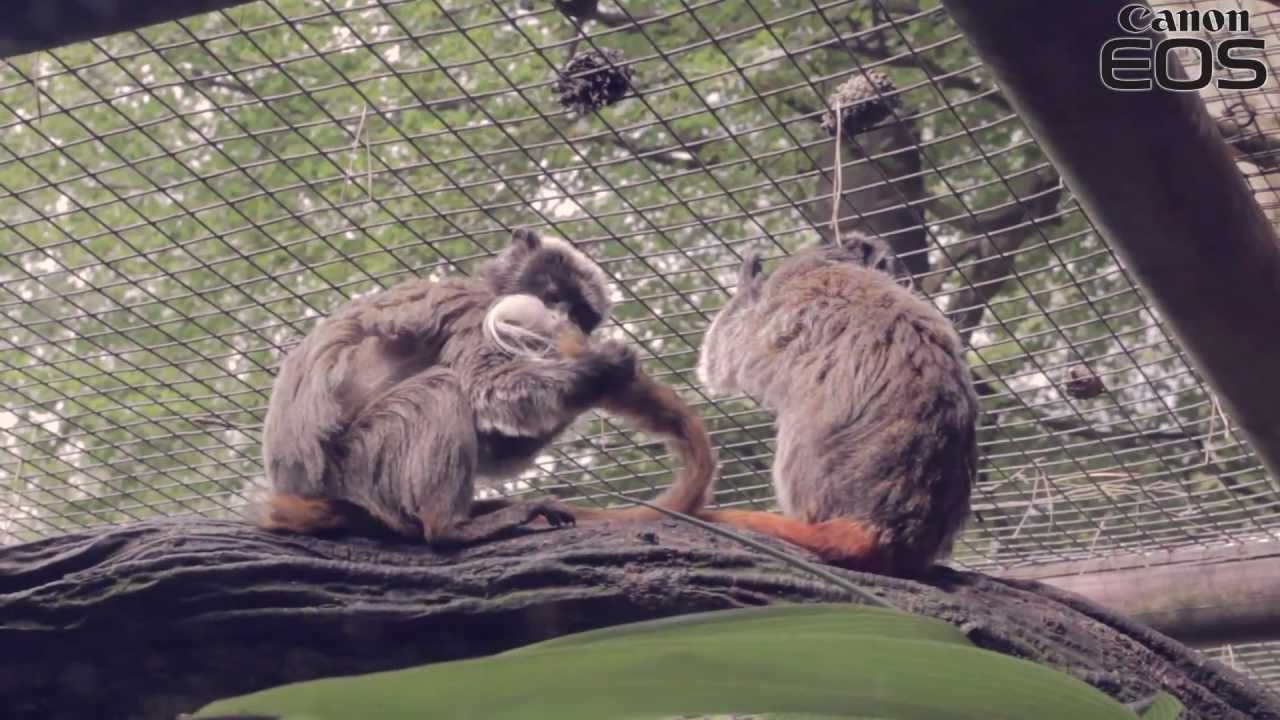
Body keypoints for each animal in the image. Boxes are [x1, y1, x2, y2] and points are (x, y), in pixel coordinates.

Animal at [258, 228, 715, 546]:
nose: (560, 318)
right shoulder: (475, 310)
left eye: (579, 312)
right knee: (440, 387)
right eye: (553, 295)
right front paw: (603, 367)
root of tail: (293, 484)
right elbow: (482, 387)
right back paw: (449, 527)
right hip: (356, 465)